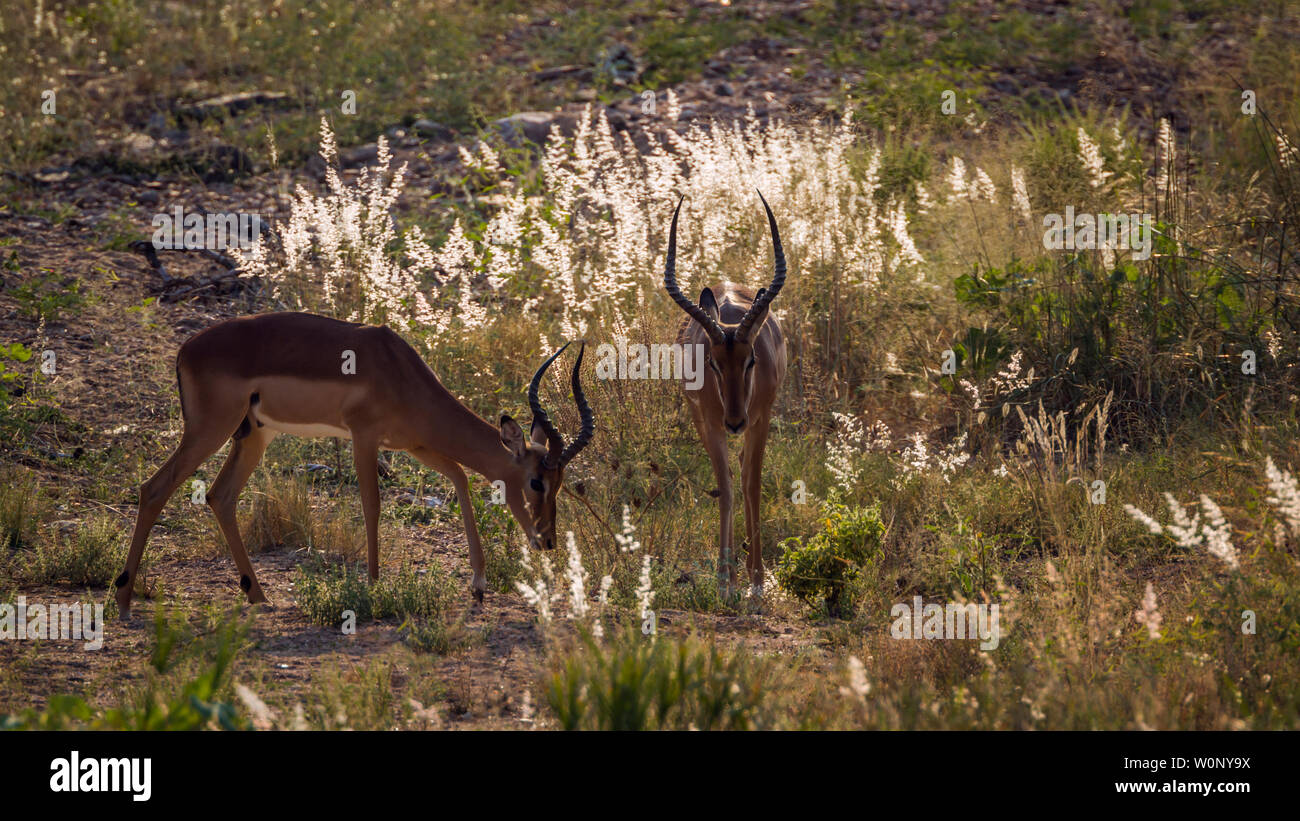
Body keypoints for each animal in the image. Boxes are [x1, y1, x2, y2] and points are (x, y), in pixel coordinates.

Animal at [113, 312, 593, 617]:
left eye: (561, 482)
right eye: (536, 482)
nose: (547, 540)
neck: (398, 370)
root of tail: (186, 349)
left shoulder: (415, 444)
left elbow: (459, 477)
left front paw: (477, 588)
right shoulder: (365, 438)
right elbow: (372, 506)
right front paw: (375, 588)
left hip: (254, 435)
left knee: (220, 496)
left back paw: (258, 596)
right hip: (210, 430)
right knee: (154, 489)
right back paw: (123, 597)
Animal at [663, 193, 788, 595]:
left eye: (751, 360)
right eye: (713, 363)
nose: (735, 421)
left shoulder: (761, 420)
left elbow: (752, 485)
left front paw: (758, 581)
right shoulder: (710, 423)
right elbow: (726, 487)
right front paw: (724, 581)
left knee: (746, 473)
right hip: (706, 421)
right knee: (730, 481)